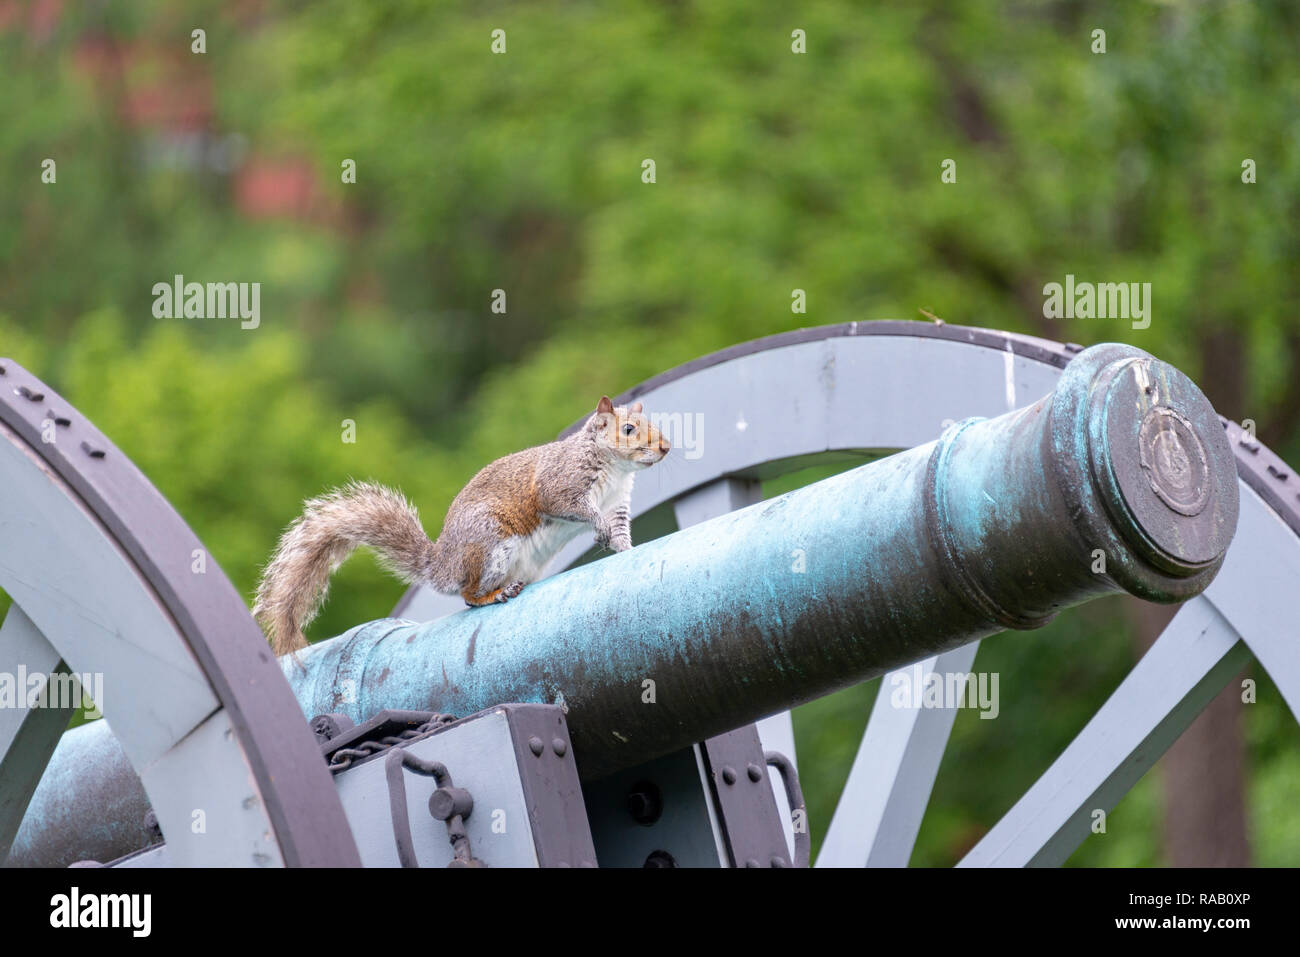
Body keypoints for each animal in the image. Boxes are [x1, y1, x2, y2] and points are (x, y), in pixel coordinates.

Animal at [253, 396, 670, 656]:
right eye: (629, 429)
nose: (665, 447)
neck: (615, 469)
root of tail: (442, 564)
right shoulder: (560, 486)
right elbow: (570, 507)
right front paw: (597, 528)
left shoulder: (618, 503)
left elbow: (620, 531)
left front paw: (627, 550)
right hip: (490, 545)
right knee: (468, 595)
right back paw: (493, 595)